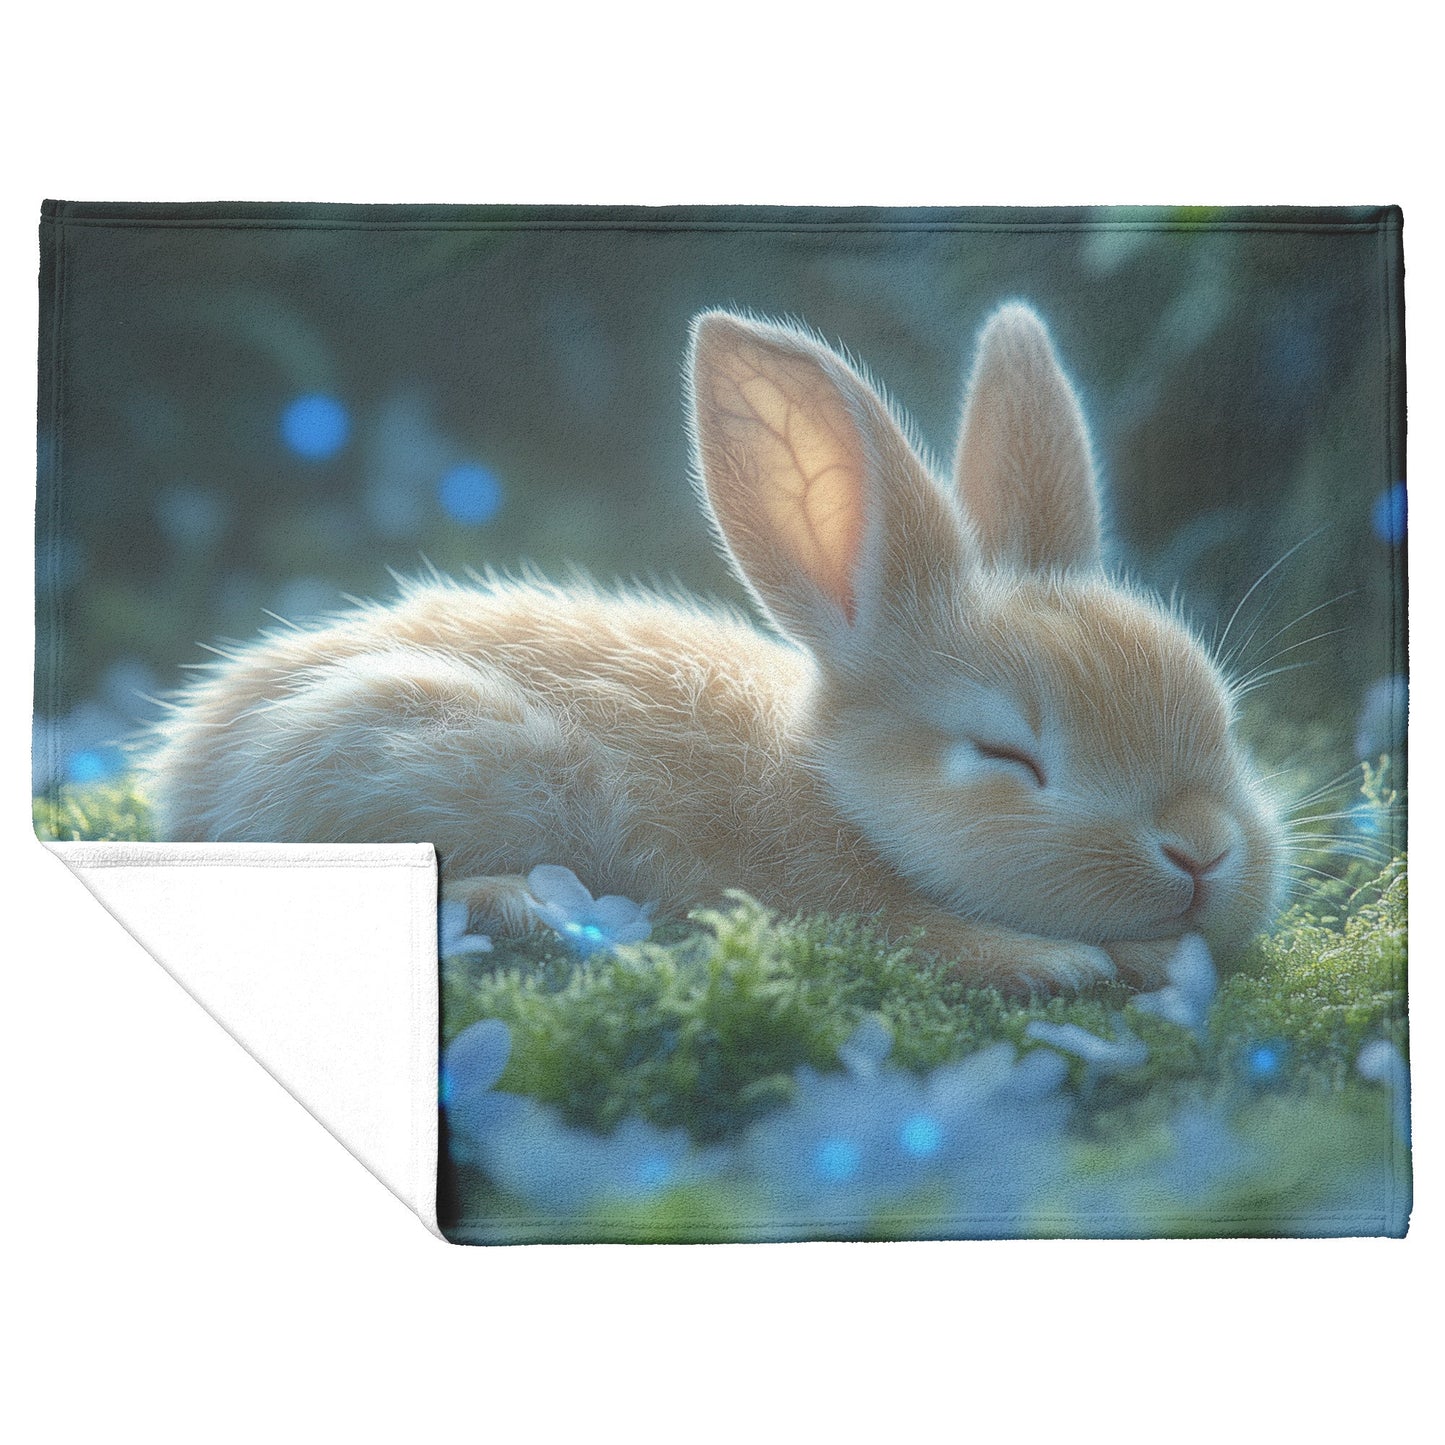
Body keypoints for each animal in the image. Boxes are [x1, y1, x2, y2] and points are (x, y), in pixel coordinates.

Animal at [145, 303, 1284, 993]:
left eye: (1224, 719)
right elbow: (934, 934)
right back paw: (520, 902)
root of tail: (189, 778)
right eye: (1005, 755)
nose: (1202, 849)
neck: (831, 787)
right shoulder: (835, 897)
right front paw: (1064, 963)